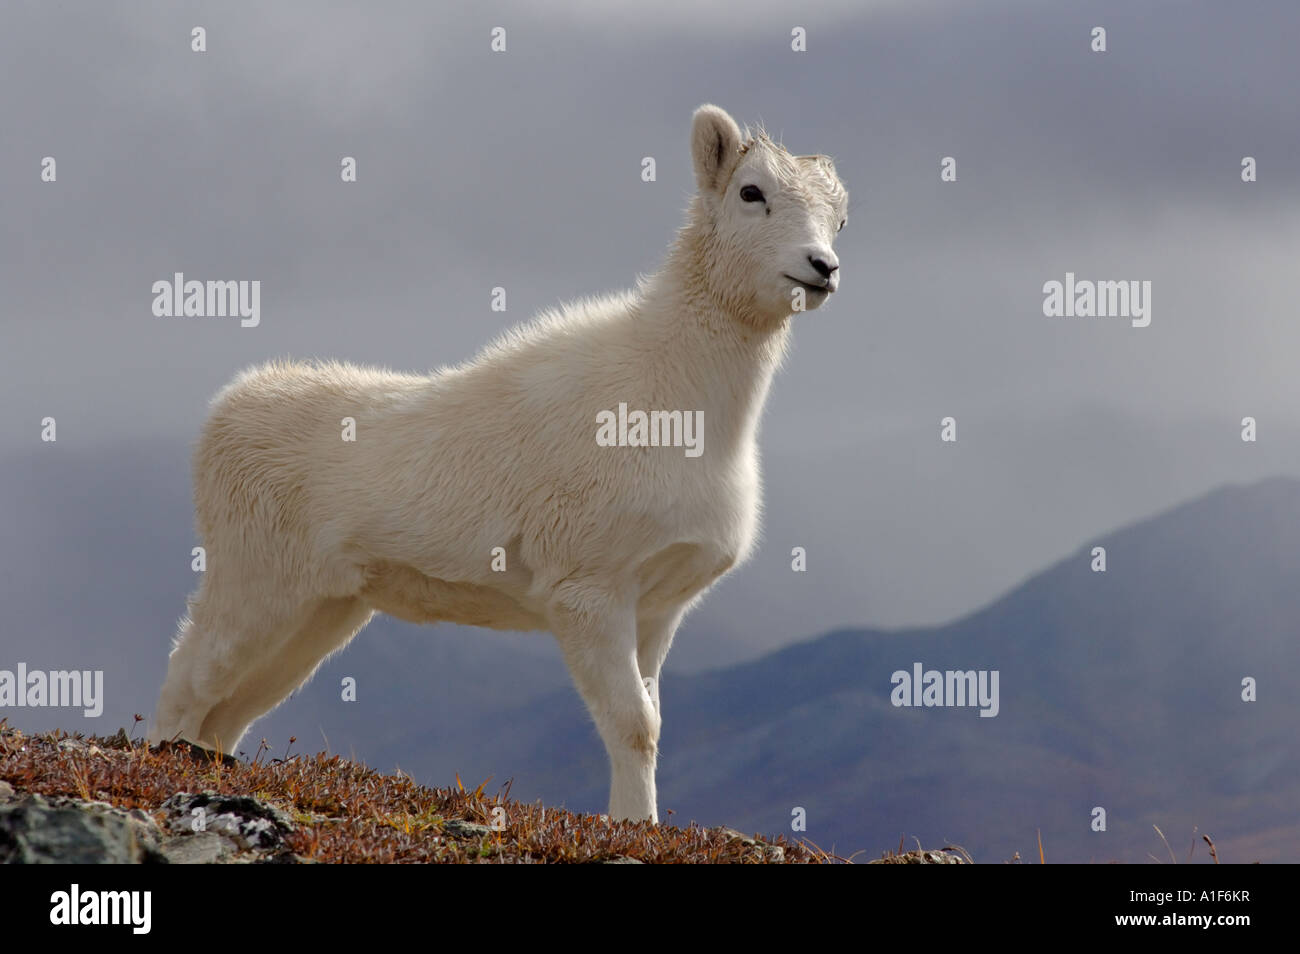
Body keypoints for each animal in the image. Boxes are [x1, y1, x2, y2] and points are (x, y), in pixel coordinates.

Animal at [149, 104, 848, 823]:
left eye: (840, 217)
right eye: (751, 193)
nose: (821, 267)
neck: (686, 408)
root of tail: (223, 415)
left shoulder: (657, 611)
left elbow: (651, 724)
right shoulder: (588, 597)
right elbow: (632, 725)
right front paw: (631, 822)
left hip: (319, 614)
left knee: (227, 713)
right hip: (256, 588)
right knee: (186, 680)